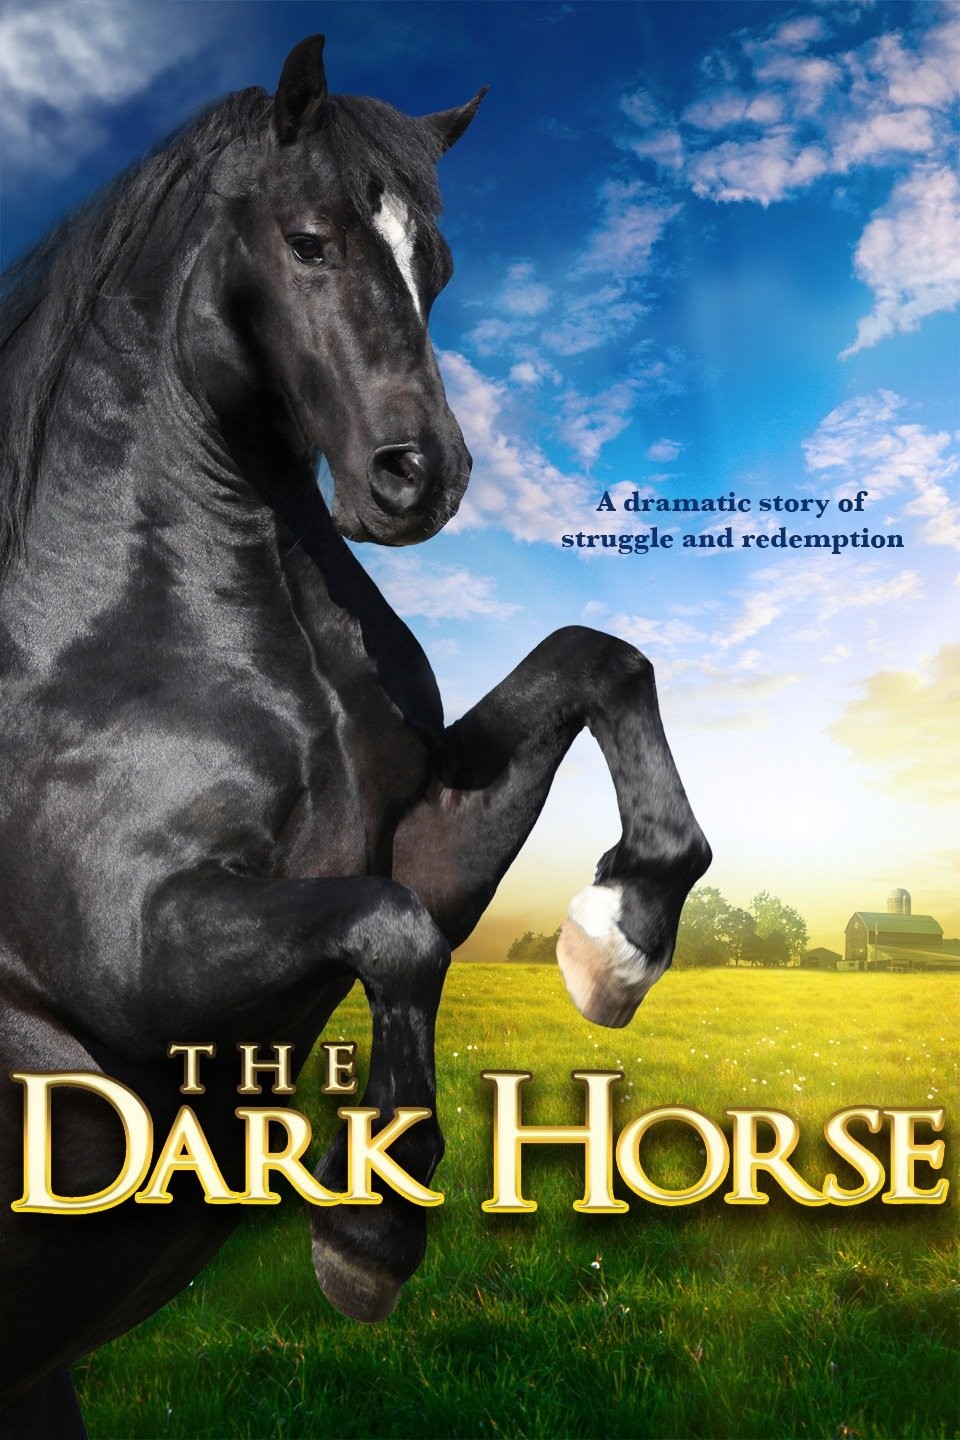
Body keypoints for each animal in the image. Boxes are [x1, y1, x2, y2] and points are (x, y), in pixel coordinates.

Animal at [0, 36, 710, 1437]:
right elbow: (395, 931)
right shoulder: (129, 953)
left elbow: (597, 660)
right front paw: (369, 1237)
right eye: (310, 240)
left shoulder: (417, 832)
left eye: (435, 264)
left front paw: (617, 945)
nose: (416, 478)